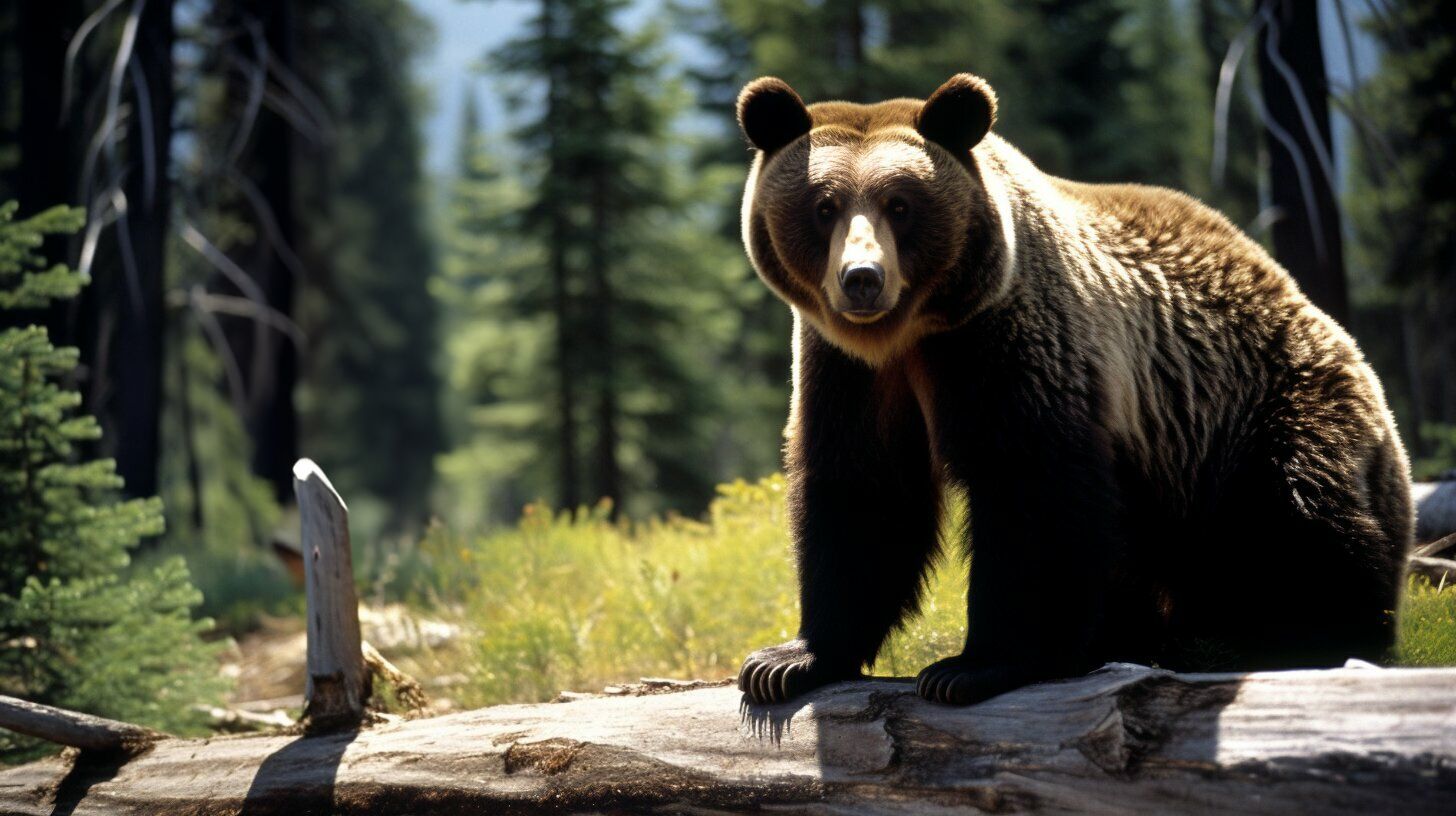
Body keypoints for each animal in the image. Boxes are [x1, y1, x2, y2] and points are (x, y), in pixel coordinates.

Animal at [733, 73, 1414, 706]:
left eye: (900, 205)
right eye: (824, 206)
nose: (862, 279)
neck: (913, 332)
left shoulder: (1009, 339)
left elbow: (1029, 491)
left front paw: (970, 667)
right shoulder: (849, 370)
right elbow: (861, 492)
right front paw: (786, 661)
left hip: (1258, 407)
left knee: (1305, 519)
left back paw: (1300, 634)